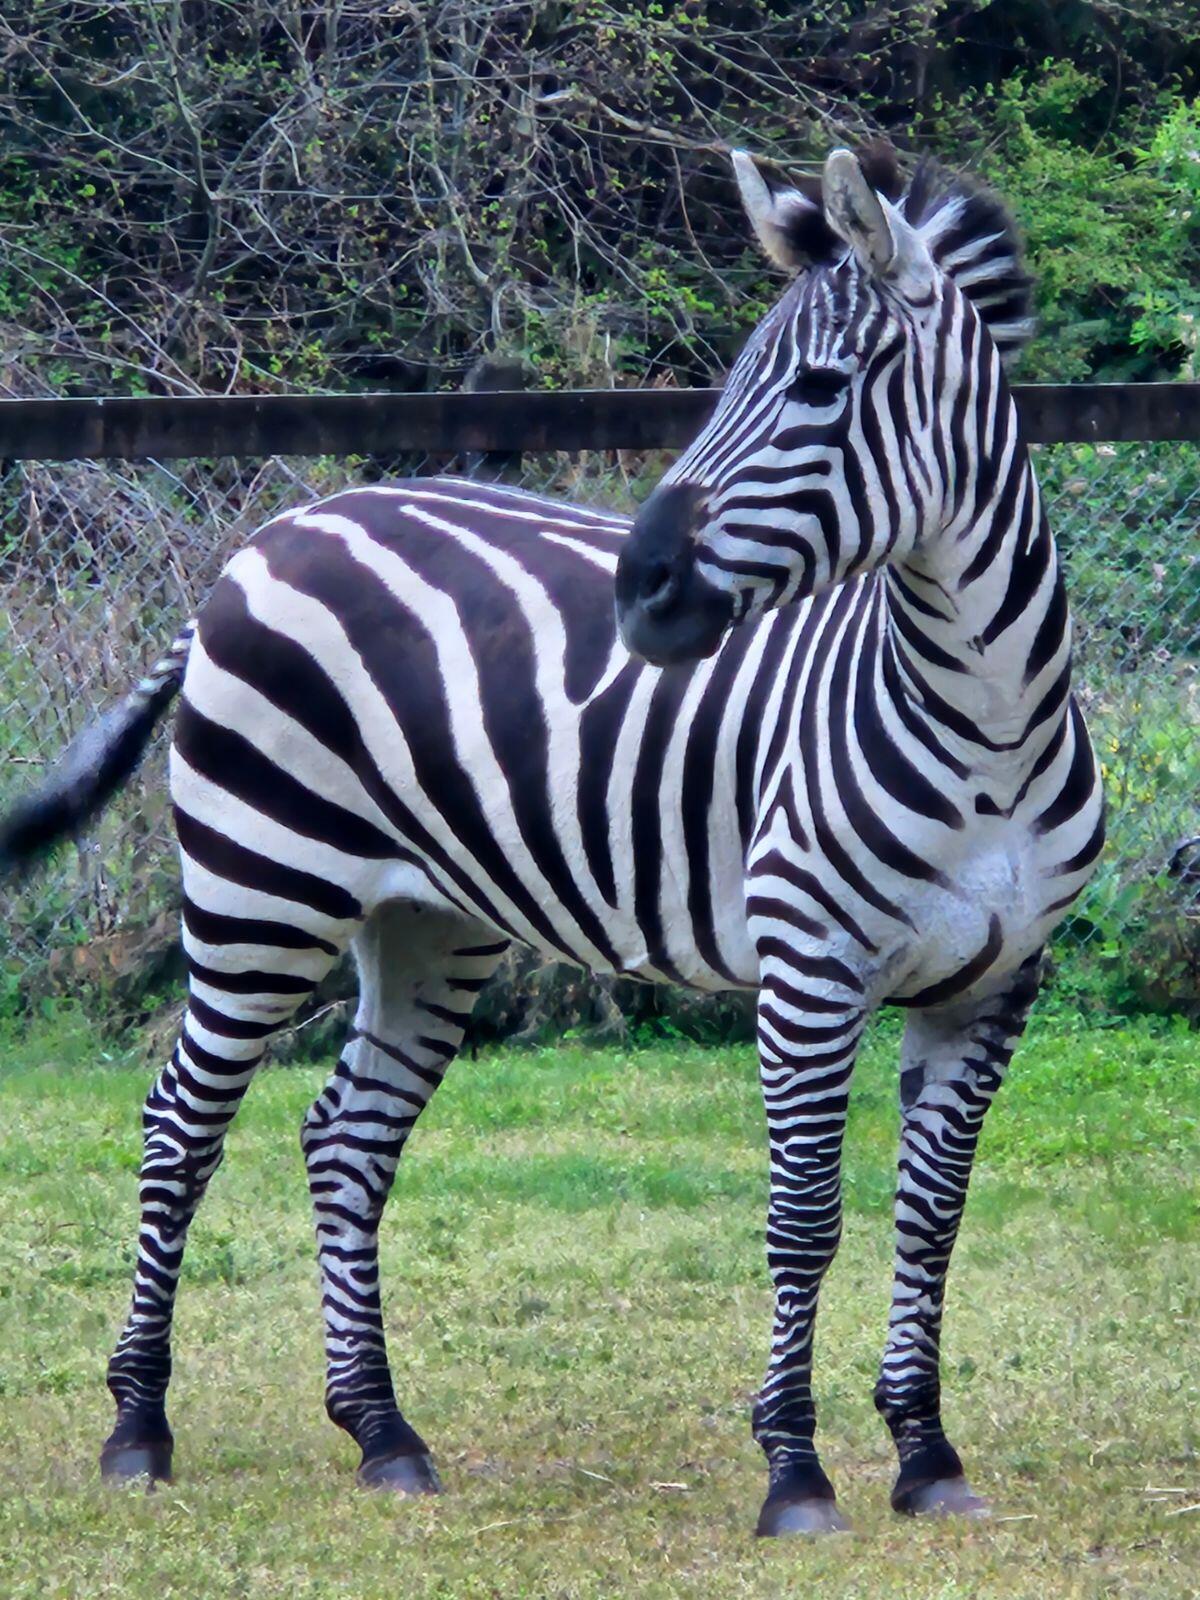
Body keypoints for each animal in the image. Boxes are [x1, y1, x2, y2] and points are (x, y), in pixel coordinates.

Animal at [0, 144, 1104, 1537]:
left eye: (818, 386)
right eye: (735, 377)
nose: (640, 590)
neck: (989, 722)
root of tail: (260, 544)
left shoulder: (995, 986)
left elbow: (933, 1220)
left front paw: (925, 1453)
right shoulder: (810, 968)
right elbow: (805, 1218)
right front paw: (795, 1473)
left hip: (427, 920)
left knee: (344, 1138)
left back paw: (381, 1432)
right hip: (263, 893)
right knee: (178, 1124)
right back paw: (139, 1426)